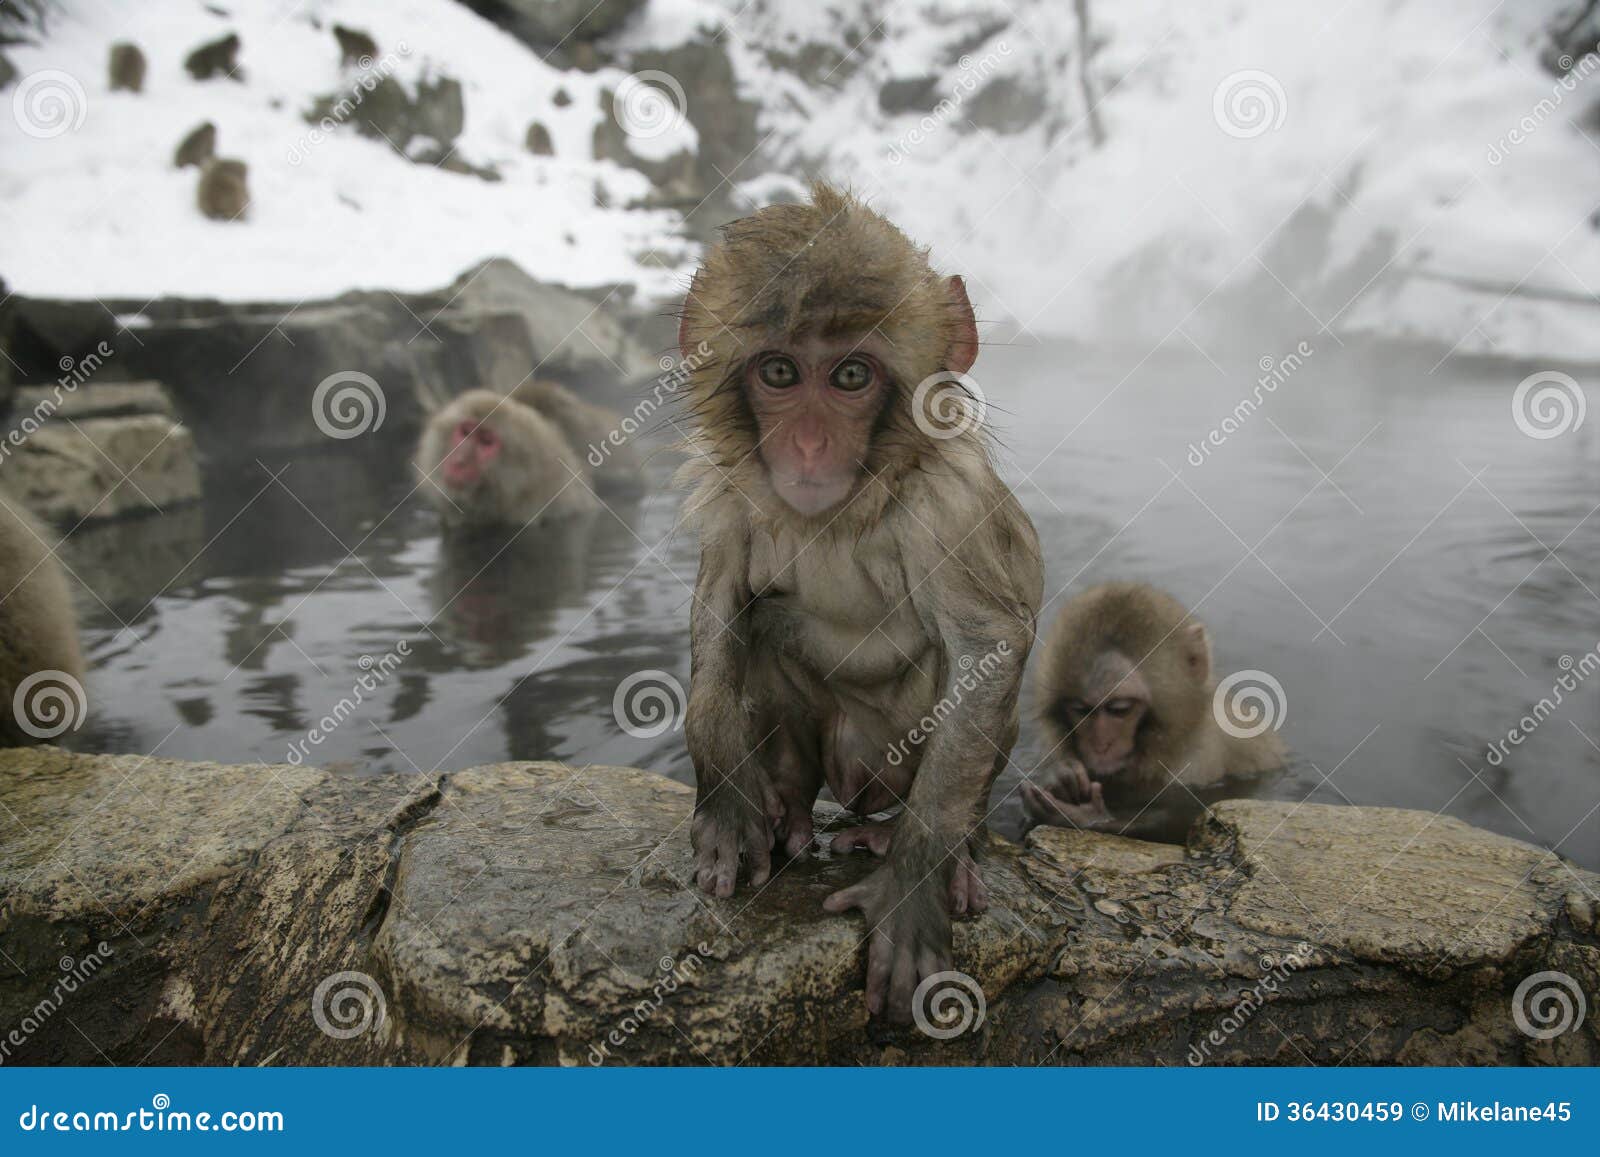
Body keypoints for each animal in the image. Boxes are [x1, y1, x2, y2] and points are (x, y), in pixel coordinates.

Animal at [676, 182, 1042, 1023]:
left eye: (849, 377)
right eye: (781, 371)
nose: (809, 446)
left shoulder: (949, 503)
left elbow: (989, 646)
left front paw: (910, 890)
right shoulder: (726, 488)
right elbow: (720, 604)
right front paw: (728, 804)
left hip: (892, 763)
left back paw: (936, 847)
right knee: (766, 626)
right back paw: (787, 812)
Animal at [1020, 582, 1287, 838]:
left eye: (1119, 709)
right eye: (1081, 709)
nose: (1100, 746)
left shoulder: (1210, 754)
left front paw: (1087, 816)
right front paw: (1062, 776)